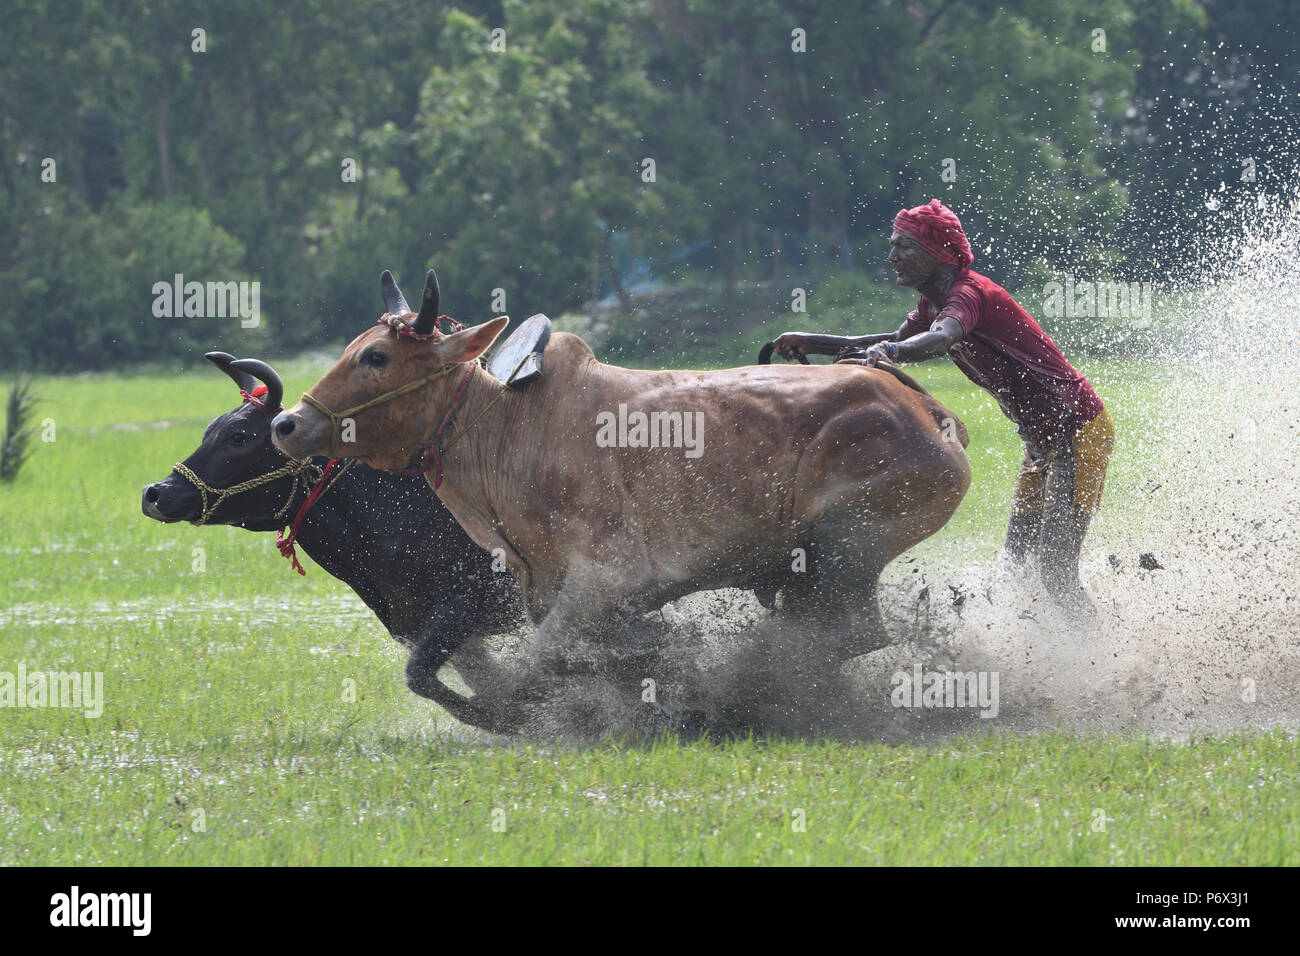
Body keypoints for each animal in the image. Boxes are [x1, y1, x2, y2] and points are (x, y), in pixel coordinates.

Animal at [141, 350, 523, 732]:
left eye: (238, 436)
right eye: (210, 430)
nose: (155, 493)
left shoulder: (469, 600)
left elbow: (422, 675)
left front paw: (512, 714)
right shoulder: (419, 625)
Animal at [270, 269, 973, 723]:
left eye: (377, 357)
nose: (286, 424)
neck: (506, 432)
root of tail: (928, 409)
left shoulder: (606, 580)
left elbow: (542, 662)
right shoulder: (549, 592)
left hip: (846, 542)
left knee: (851, 634)